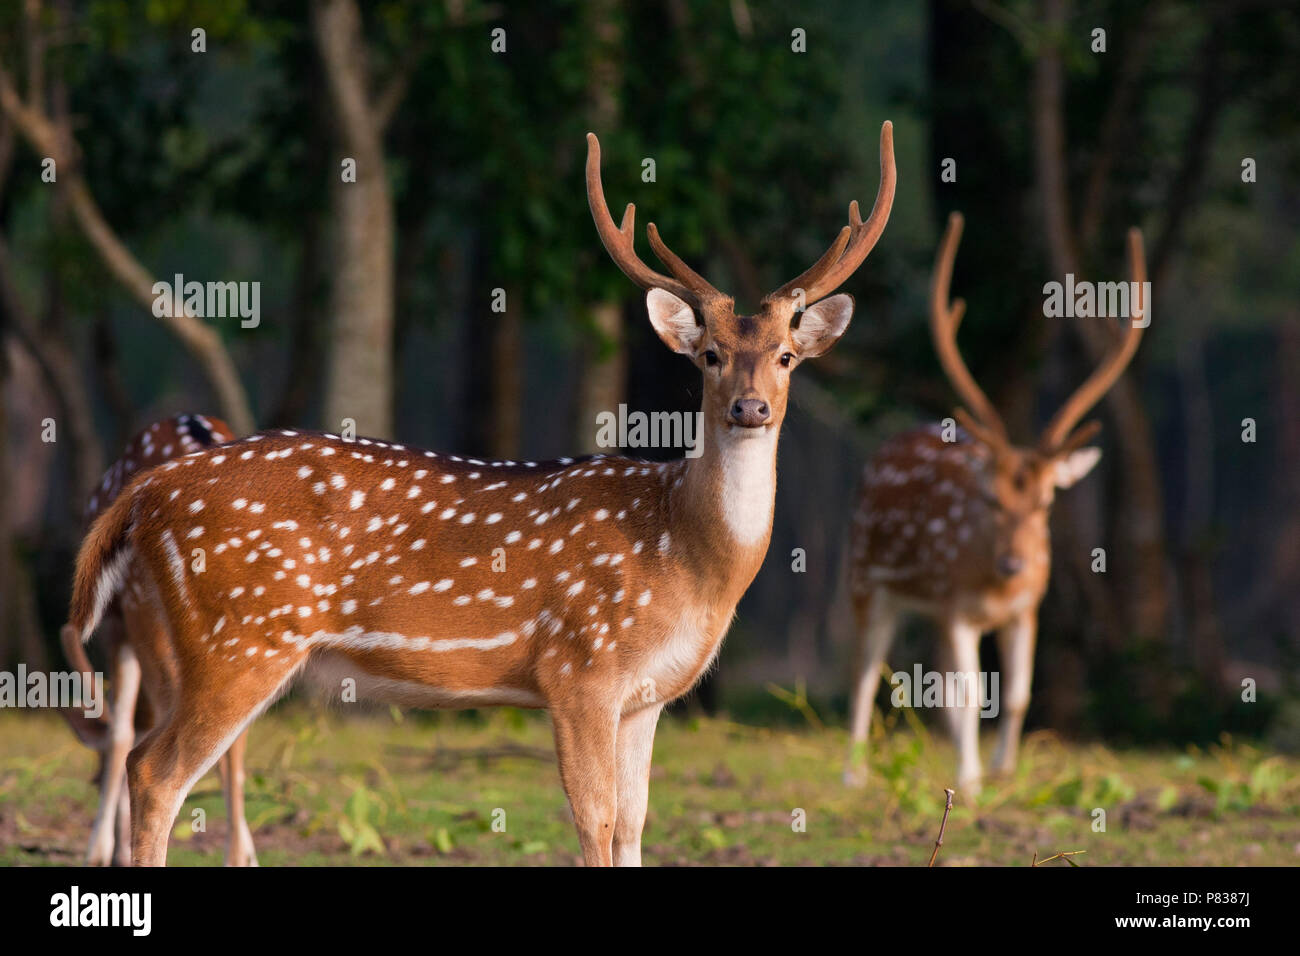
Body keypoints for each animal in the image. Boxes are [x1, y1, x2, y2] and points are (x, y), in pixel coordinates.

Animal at [58, 414, 258, 866]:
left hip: (143, 605)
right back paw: (237, 854)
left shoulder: (117, 627)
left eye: (95, 774)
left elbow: (121, 733)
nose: (92, 779)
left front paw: (102, 851)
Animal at [844, 212, 1146, 791]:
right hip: (867, 576)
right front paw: (971, 779)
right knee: (866, 671)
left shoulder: (1027, 609)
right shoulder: (955, 607)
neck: (994, 586)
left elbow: (1020, 693)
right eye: (989, 497)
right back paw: (854, 773)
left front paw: (1006, 769)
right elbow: (966, 696)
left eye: (1047, 501)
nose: (1013, 563)